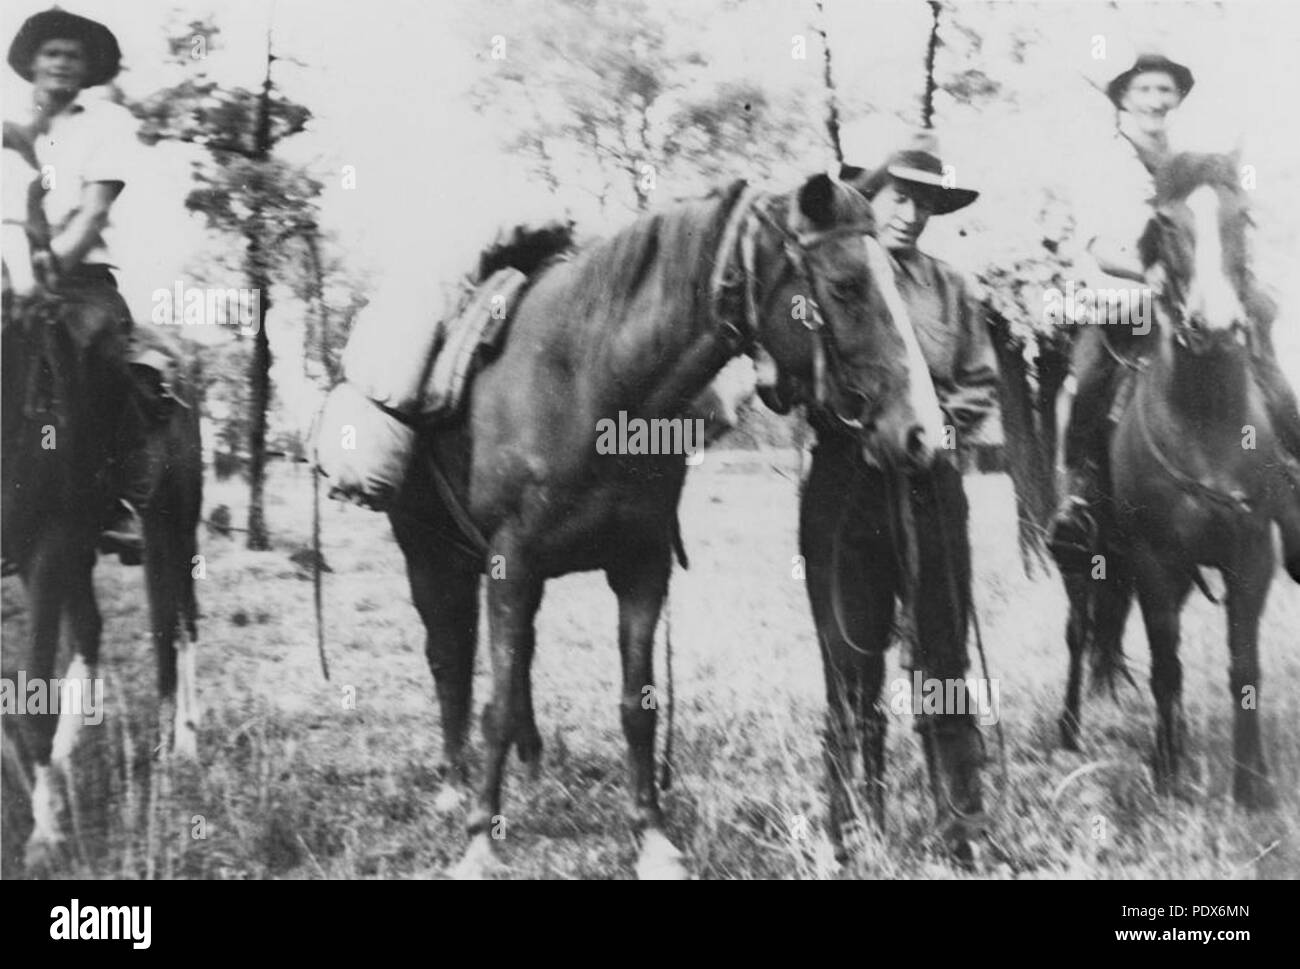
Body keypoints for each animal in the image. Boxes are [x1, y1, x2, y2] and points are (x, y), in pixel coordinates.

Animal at [1, 129, 205, 868]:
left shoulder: (48, 549)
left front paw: (46, 836)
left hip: (173, 528)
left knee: (178, 626)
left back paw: (183, 744)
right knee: (91, 632)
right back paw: (72, 752)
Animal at [386, 173, 944, 878]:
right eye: (845, 285)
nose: (921, 434)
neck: (589, 379)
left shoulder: (640, 567)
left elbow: (637, 705)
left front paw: (651, 837)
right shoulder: (510, 563)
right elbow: (498, 700)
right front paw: (481, 842)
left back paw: (532, 769)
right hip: (430, 555)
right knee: (449, 660)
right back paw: (456, 784)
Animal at [1058, 152, 1300, 808]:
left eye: (1243, 215)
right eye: (1166, 223)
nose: (1215, 326)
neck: (1205, 421)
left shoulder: (1251, 556)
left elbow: (1244, 666)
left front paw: (1252, 783)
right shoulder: (1153, 561)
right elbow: (1166, 664)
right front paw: (1166, 768)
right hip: (1083, 558)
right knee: (1078, 632)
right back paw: (1068, 730)